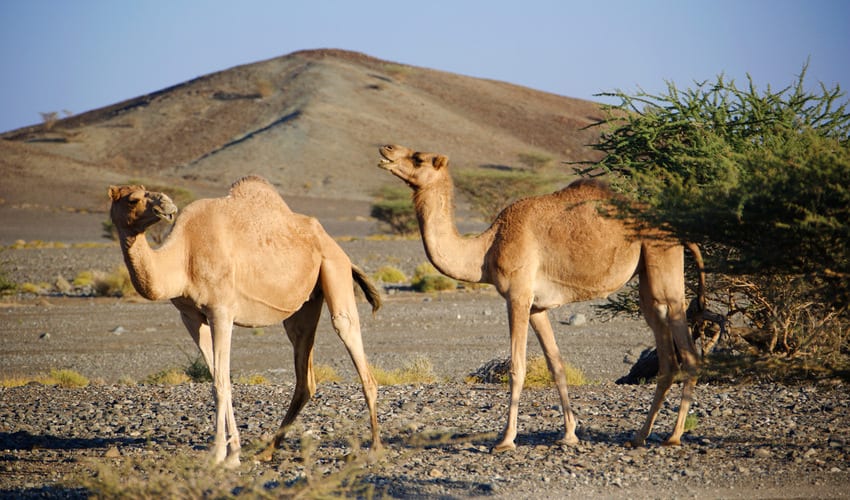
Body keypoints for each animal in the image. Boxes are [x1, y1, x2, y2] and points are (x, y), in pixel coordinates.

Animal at [108, 175, 382, 466]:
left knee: (348, 333)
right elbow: (218, 377)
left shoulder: (221, 312)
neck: (184, 257)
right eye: (133, 198)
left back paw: (375, 448)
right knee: (304, 374)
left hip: (334, 267)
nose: (167, 206)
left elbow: (220, 384)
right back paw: (268, 449)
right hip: (303, 305)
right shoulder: (190, 317)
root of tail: (335, 246)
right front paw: (233, 453)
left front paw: (219, 455)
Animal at [378, 144, 703, 451]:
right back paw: (639, 436)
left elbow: (517, 367)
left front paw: (506, 439)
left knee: (687, 350)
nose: (386, 149)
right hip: (647, 278)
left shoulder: (517, 296)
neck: (486, 249)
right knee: (666, 356)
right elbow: (556, 365)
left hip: (662, 265)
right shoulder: (537, 307)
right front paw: (569, 435)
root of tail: (680, 231)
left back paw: (673, 437)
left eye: (418, 158)